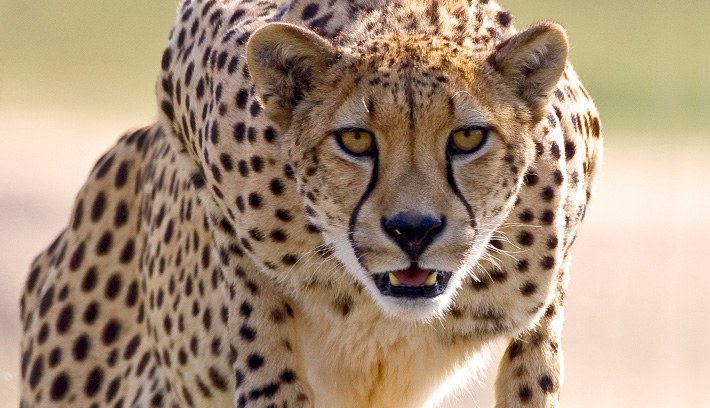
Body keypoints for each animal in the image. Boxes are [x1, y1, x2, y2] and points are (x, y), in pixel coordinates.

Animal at [19, 0, 602, 407]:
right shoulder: (188, 86)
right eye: (357, 140)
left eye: (466, 138)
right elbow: (258, 325)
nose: (413, 230)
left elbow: (534, 370)